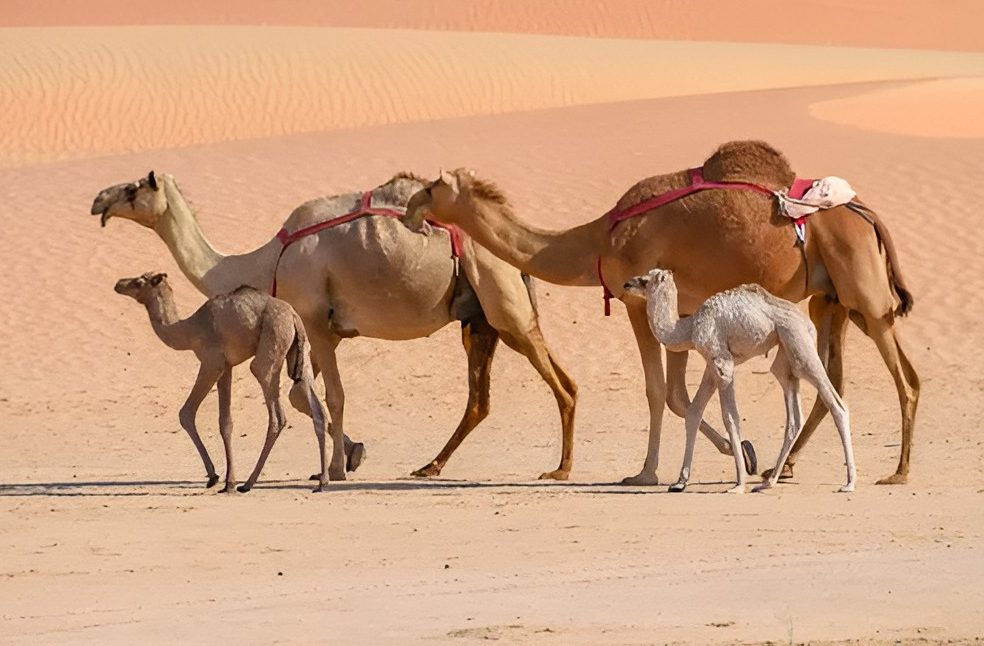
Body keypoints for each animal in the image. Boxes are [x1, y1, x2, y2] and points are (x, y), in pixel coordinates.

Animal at [115, 272, 342, 493]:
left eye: (139, 282)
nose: (118, 284)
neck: (189, 330)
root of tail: (294, 317)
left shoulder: (211, 362)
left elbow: (186, 413)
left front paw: (215, 478)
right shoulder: (227, 367)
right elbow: (225, 422)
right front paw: (227, 482)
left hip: (271, 344)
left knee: (276, 412)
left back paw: (249, 483)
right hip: (301, 353)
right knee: (318, 410)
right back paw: (322, 482)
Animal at [623, 269, 856, 494]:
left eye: (645, 280)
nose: (627, 284)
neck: (689, 328)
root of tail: (807, 324)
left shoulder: (722, 364)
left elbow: (731, 418)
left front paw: (738, 484)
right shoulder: (711, 366)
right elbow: (693, 412)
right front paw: (680, 482)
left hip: (800, 348)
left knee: (836, 404)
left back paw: (849, 483)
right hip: (785, 358)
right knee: (794, 417)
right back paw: (767, 482)